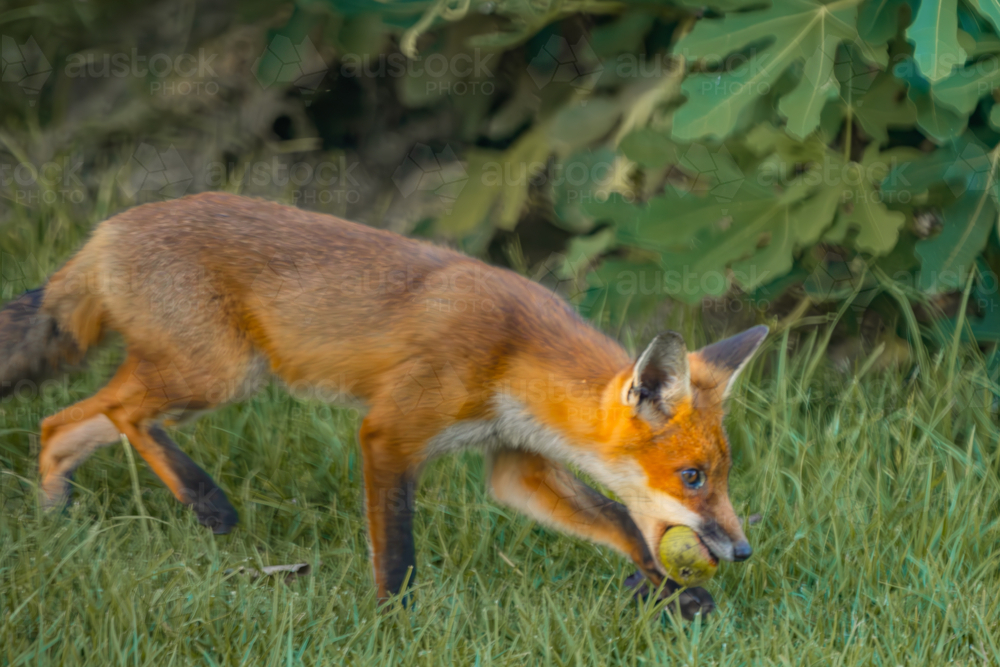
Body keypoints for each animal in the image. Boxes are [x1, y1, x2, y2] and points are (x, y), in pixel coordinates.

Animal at [0, 192, 767, 617]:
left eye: (720, 476)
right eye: (693, 477)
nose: (743, 551)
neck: (514, 353)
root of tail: (106, 229)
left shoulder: (513, 464)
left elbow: (617, 521)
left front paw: (671, 592)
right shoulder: (390, 433)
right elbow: (396, 549)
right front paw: (394, 621)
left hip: (196, 382)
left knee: (59, 423)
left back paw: (55, 517)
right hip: (216, 375)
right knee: (121, 414)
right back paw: (205, 500)